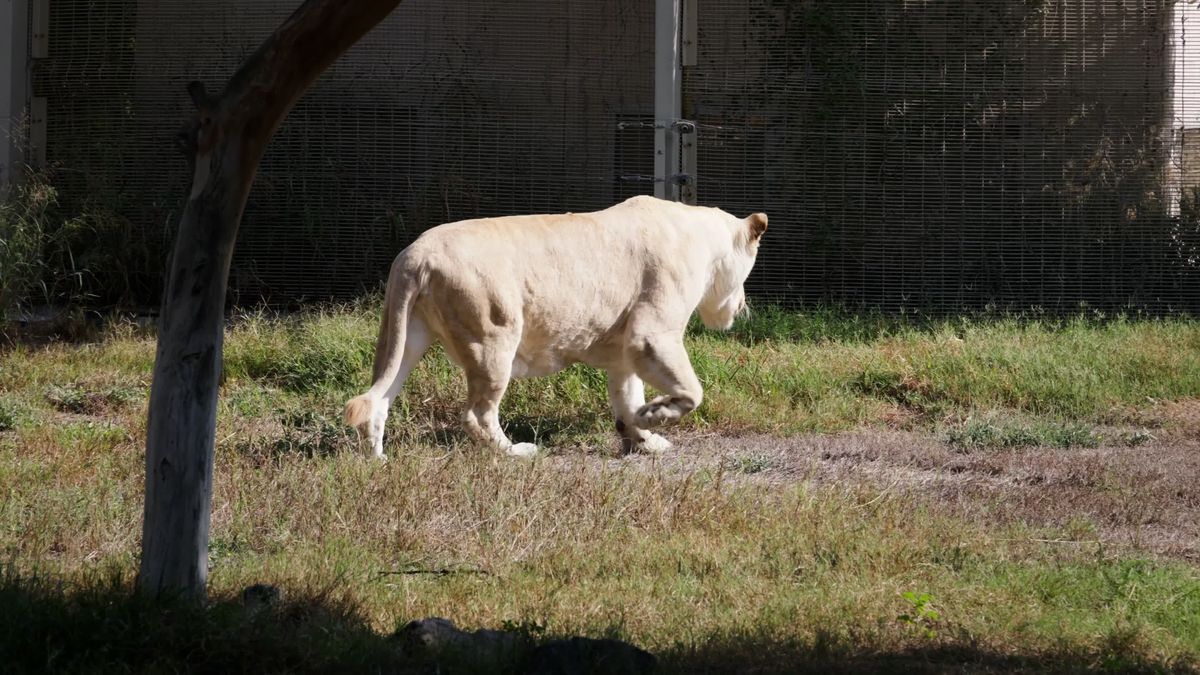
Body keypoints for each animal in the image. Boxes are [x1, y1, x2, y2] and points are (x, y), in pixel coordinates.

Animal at [344, 195, 767, 458]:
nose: (743, 305)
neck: (704, 237)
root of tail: (415, 256)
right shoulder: (651, 333)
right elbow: (692, 391)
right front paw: (655, 415)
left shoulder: (625, 347)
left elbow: (626, 396)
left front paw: (642, 437)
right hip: (494, 333)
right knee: (477, 414)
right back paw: (517, 452)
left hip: (408, 335)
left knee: (378, 397)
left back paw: (377, 460)